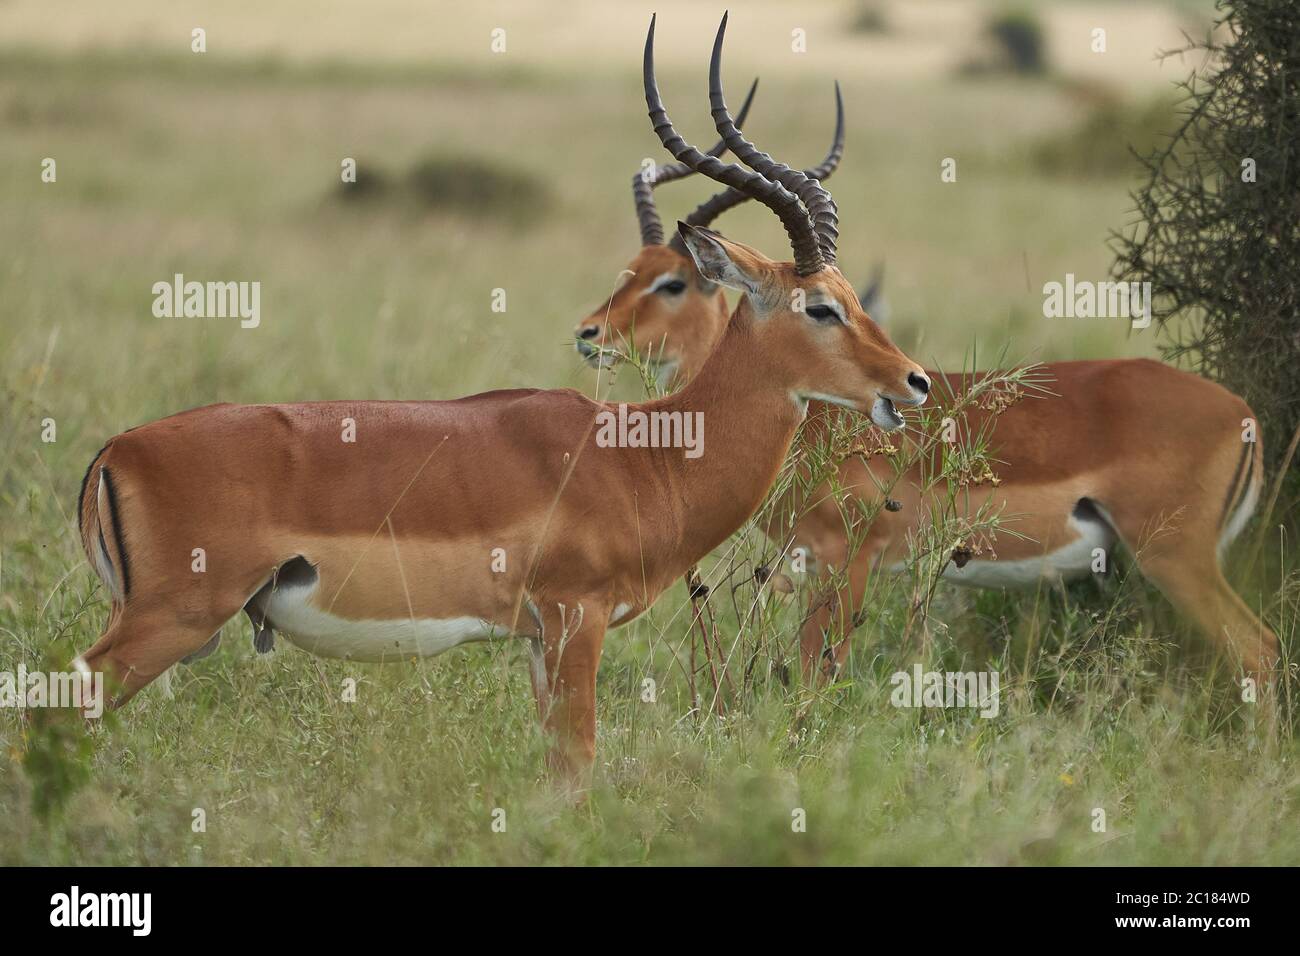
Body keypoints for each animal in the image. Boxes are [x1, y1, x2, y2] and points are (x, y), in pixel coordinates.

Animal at [69, 15, 929, 782]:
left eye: (855, 295)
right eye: (821, 306)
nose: (912, 383)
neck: (644, 455)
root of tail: (115, 451)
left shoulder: (538, 638)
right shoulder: (576, 616)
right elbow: (578, 763)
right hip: (168, 621)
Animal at [573, 19, 1280, 686]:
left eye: (673, 282)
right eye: (631, 270)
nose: (588, 334)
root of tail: (1244, 413)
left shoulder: (848, 562)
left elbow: (818, 673)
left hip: (1176, 557)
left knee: (1261, 651)